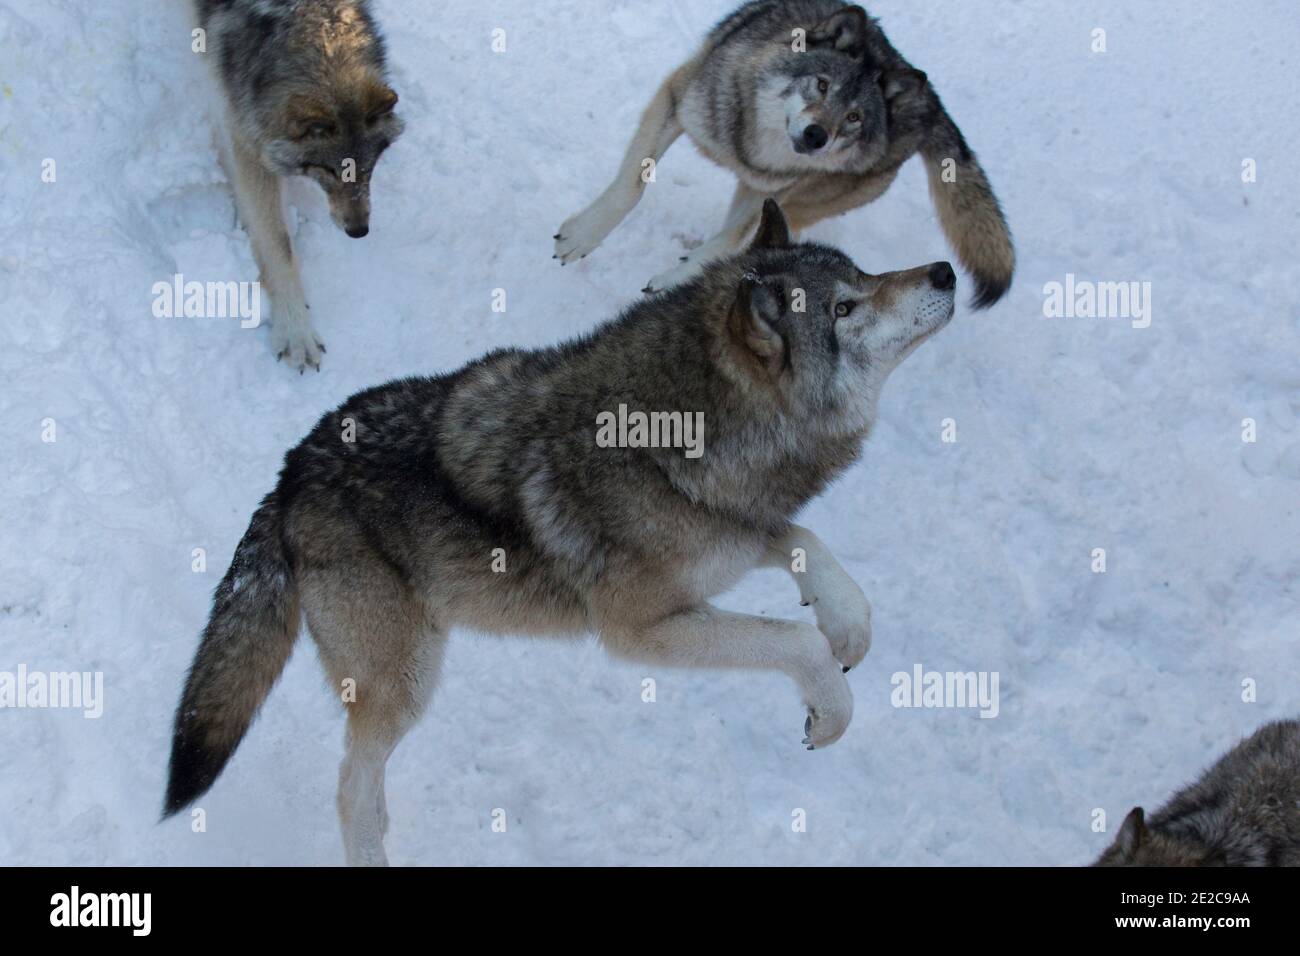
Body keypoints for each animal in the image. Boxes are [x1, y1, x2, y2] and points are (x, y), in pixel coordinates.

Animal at [163, 201, 957, 865]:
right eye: (846, 307)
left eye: (861, 273)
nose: (946, 271)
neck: (684, 435)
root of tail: (290, 470)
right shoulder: (642, 631)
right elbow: (794, 640)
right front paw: (830, 708)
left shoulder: (733, 532)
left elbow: (805, 544)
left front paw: (848, 625)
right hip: (406, 684)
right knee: (351, 790)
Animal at [196, 0, 404, 370]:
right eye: (327, 169)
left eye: (370, 165)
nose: (358, 231)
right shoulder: (245, 138)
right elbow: (278, 245)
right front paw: (296, 331)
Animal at [554, 0, 1013, 307]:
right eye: (822, 84)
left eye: (854, 117)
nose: (816, 136)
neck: (747, 150)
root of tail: (928, 103)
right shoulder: (676, 100)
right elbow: (631, 187)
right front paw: (580, 238)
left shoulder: (772, 188)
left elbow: (730, 239)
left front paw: (676, 279)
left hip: (804, 200)